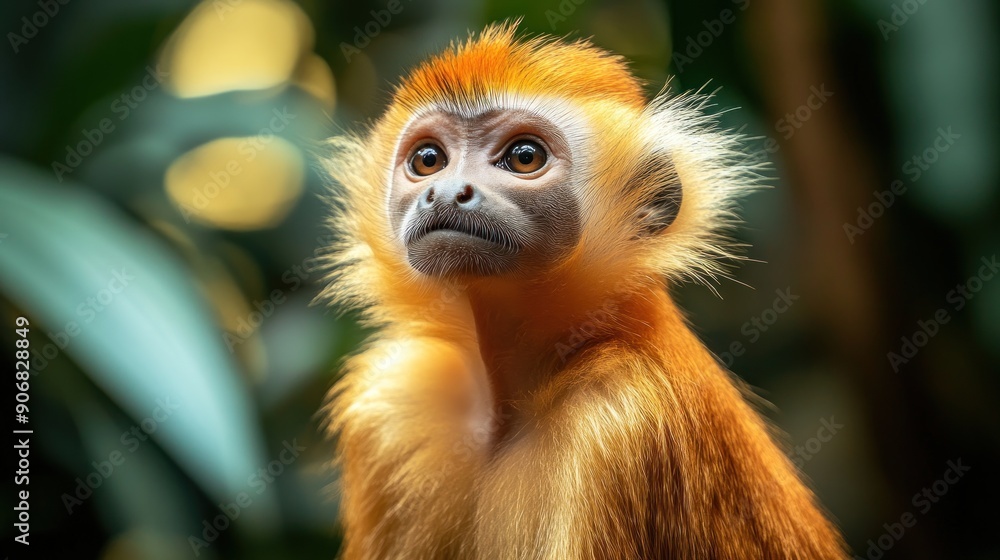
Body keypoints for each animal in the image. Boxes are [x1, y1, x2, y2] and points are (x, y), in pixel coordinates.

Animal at [320, 24, 848, 560]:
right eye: (428, 160)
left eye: (524, 157)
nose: (447, 191)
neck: (510, 405)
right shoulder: (393, 400)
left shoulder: (616, 419)